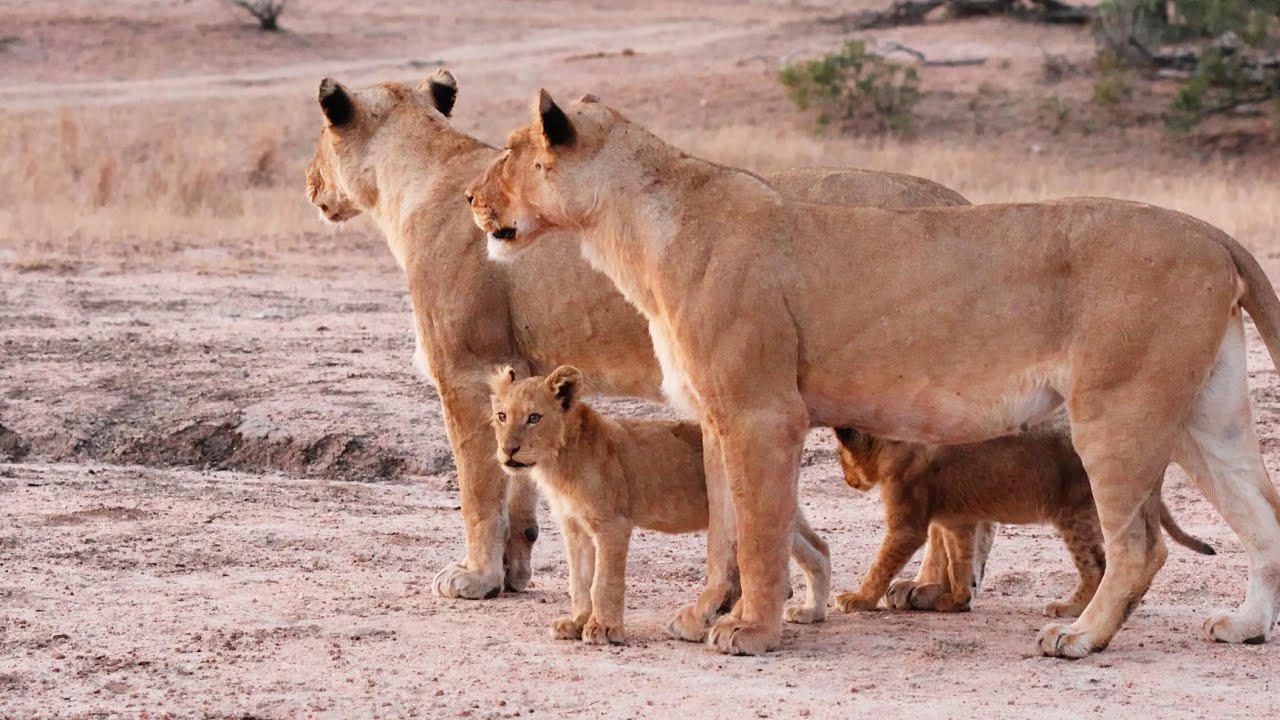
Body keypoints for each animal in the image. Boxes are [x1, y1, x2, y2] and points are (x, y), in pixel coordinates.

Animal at [305, 71, 971, 604]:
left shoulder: (465, 370)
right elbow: (517, 486)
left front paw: (474, 577)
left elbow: (479, 489)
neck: (416, 182)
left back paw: (929, 590)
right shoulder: (514, 374)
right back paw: (937, 591)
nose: (311, 184)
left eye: (317, 141)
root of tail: (955, 196)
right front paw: (512, 575)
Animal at [489, 365, 830, 644]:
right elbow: (580, 580)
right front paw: (576, 623)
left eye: (534, 418)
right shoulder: (575, 528)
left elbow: (602, 581)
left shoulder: (612, 524)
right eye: (502, 416)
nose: (508, 450)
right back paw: (811, 611)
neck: (557, 461)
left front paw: (603, 629)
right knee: (817, 547)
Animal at [832, 422, 1214, 617]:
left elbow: (883, 563)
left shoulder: (909, 525)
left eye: (841, 456)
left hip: (1073, 514)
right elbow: (958, 560)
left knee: (1099, 564)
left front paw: (858, 599)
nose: (848, 481)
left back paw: (1072, 608)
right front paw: (955, 599)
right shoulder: (958, 519)